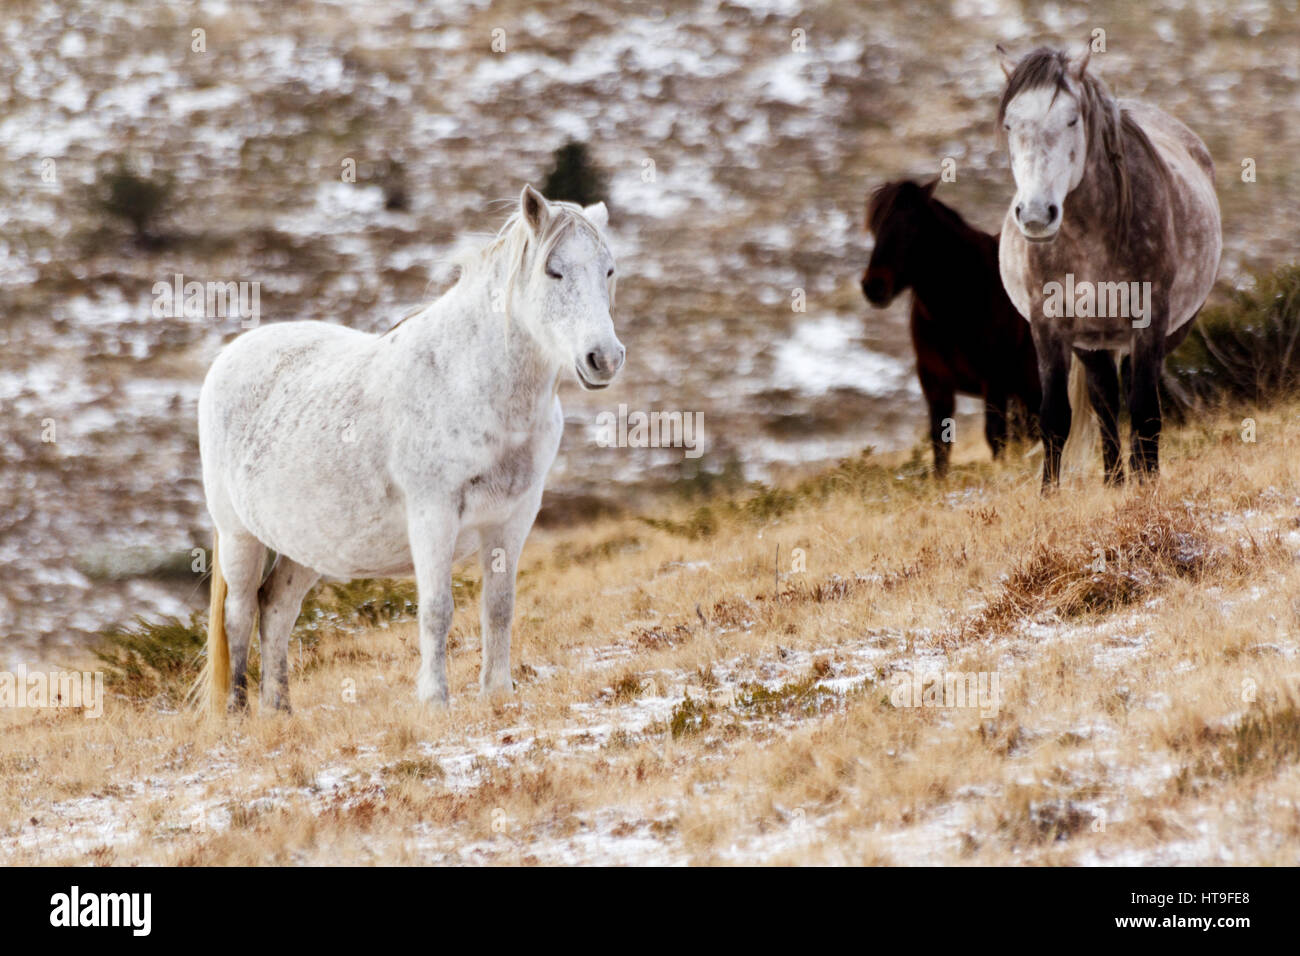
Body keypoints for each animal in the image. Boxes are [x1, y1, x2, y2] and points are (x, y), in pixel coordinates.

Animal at [199, 185, 624, 713]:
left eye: (608, 270)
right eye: (554, 271)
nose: (603, 358)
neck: (473, 382)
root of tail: (229, 356)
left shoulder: (512, 519)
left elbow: (499, 606)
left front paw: (498, 692)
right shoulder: (433, 514)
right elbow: (437, 610)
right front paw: (435, 700)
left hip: (305, 544)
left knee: (275, 608)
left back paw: (279, 712)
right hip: (239, 534)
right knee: (238, 616)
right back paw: (237, 715)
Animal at [861, 178, 1041, 477]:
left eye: (911, 225)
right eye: (875, 226)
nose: (873, 286)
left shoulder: (994, 381)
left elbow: (995, 436)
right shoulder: (936, 383)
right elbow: (940, 445)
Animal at [996, 44, 1221, 487]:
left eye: (1071, 119)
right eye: (1011, 124)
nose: (1036, 215)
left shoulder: (1151, 319)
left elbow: (1146, 411)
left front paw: (1148, 487)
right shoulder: (1048, 326)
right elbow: (1054, 419)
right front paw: (1049, 495)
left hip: (1163, 332)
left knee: (1131, 390)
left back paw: (1135, 475)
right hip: (1091, 342)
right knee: (1104, 399)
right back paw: (1114, 480)